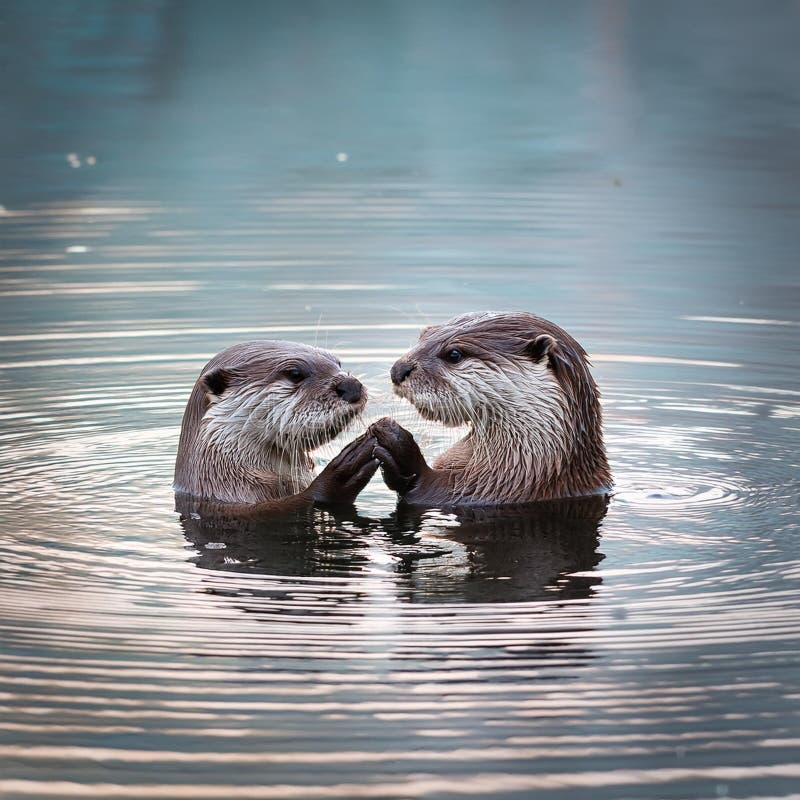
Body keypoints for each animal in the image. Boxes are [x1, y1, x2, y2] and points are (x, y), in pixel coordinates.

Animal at [370, 312, 611, 506]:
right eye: (422, 337)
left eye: (454, 354)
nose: (398, 370)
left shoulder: (498, 491)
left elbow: (432, 489)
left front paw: (398, 447)